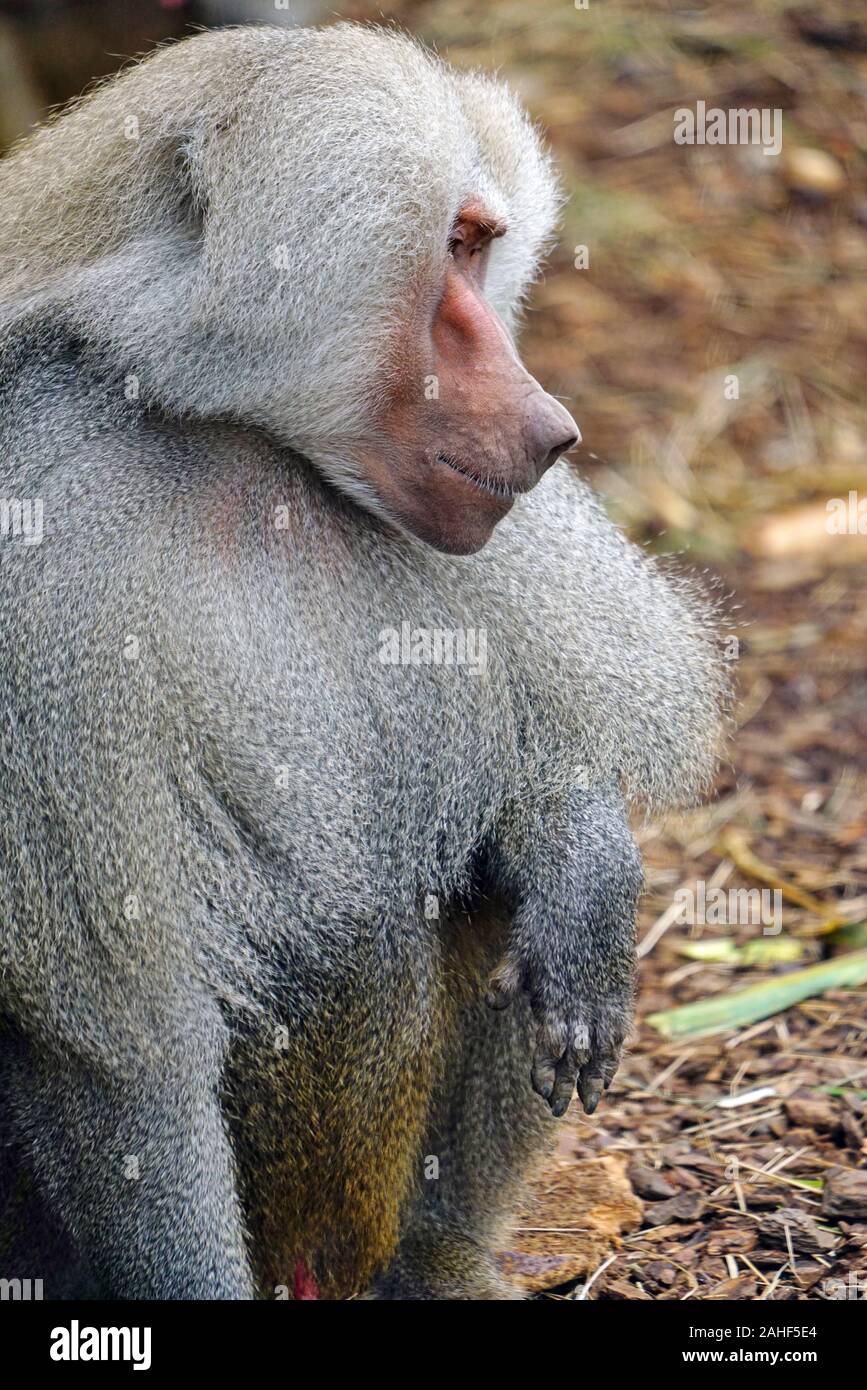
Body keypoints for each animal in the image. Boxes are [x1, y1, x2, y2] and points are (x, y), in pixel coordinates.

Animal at [0, 24, 728, 1300]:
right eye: (456, 243)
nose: (553, 431)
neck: (237, 450)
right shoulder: (44, 534)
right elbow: (121, 1050)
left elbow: (523, 804)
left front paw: (585, 861)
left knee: (483, 899)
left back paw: (435, 1261)